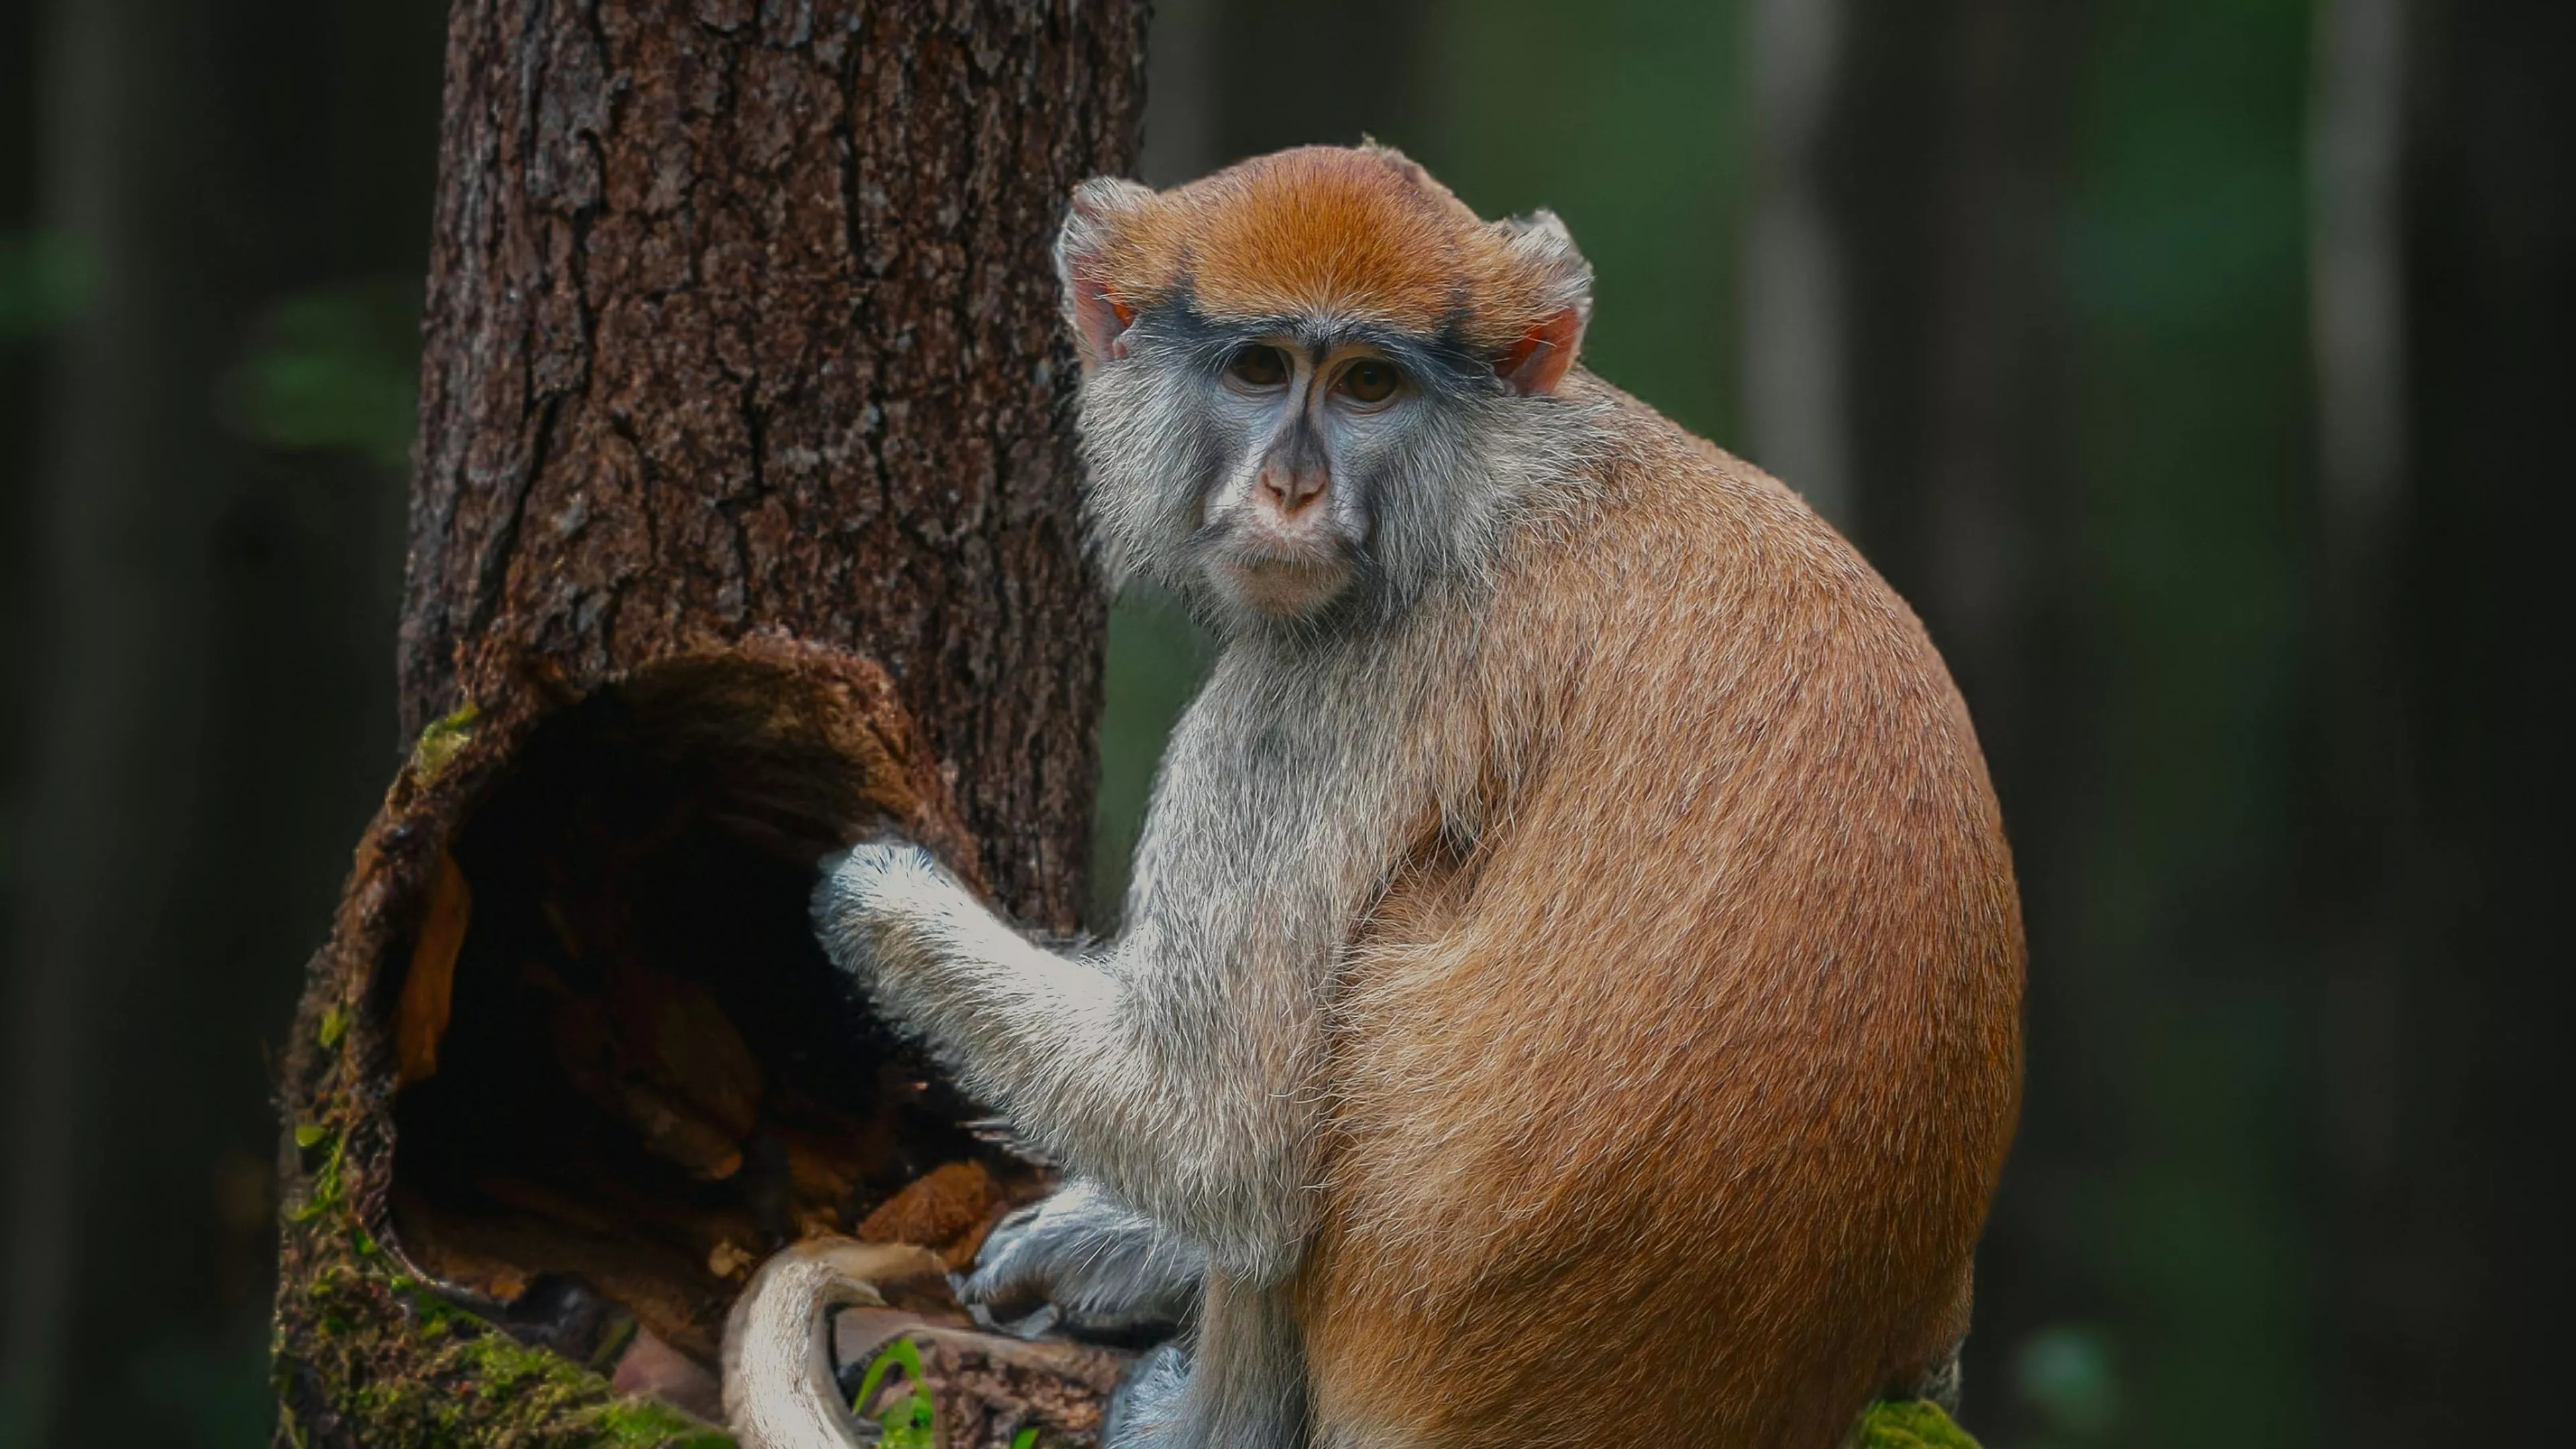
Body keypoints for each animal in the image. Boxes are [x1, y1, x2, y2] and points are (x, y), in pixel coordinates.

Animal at [803, 144, 2023, 1449]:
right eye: (1258, 367)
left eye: (1371, 385)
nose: (1292, 492)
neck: (1499, 477)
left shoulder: (1322, 688)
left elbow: (1214, 1134)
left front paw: (866, 897)